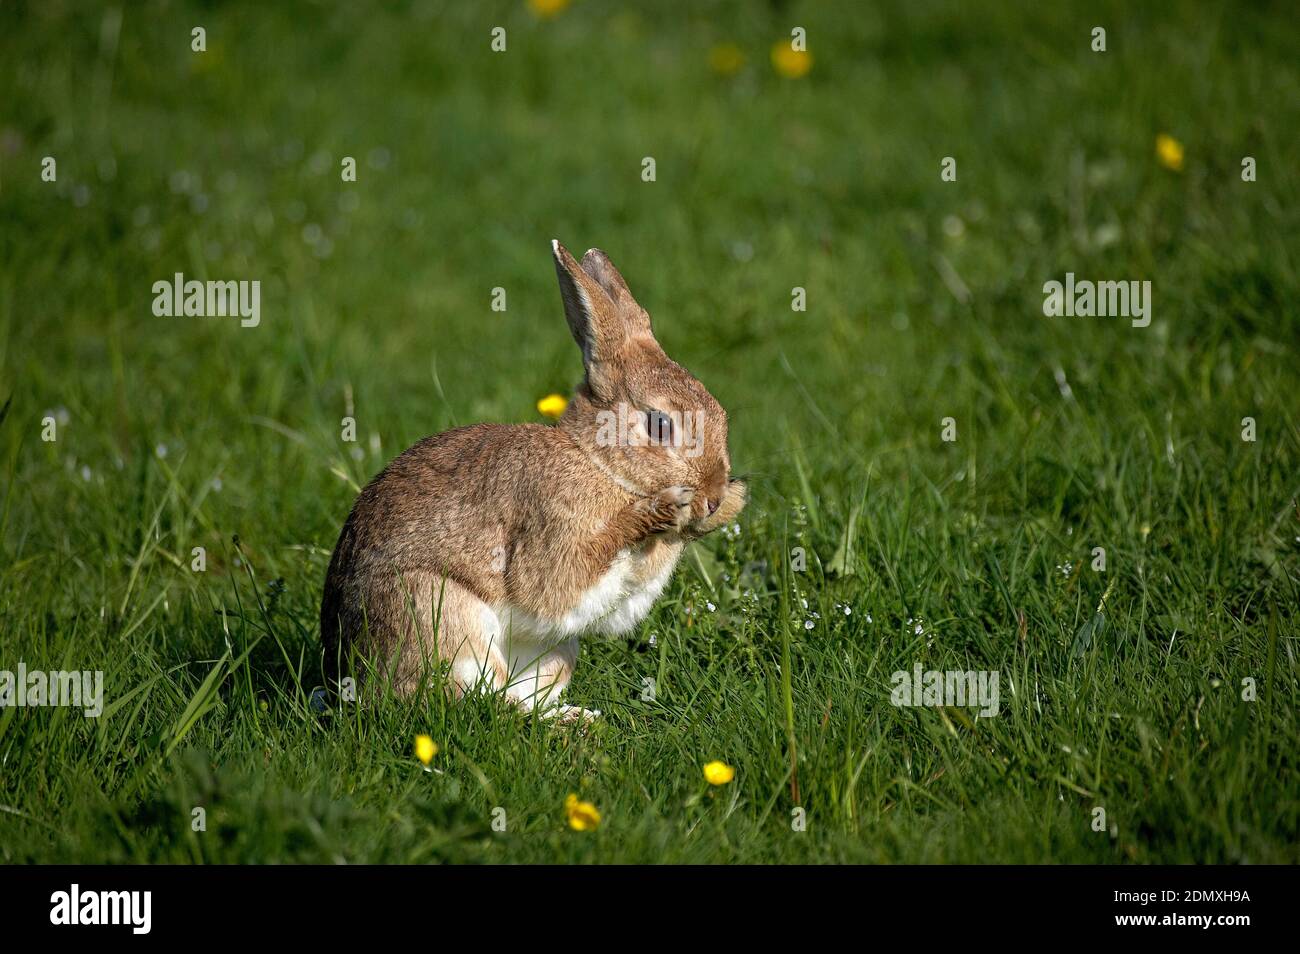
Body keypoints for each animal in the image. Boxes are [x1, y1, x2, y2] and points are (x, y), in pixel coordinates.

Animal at [320, 240, 746, 722]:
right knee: (479, 700)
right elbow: (556, 582)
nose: (713, 497)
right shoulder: (550, 532)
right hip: (437, 613)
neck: (597, 463)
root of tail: (349, 680)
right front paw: (664, 508)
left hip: (556, 653)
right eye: (659, 424)